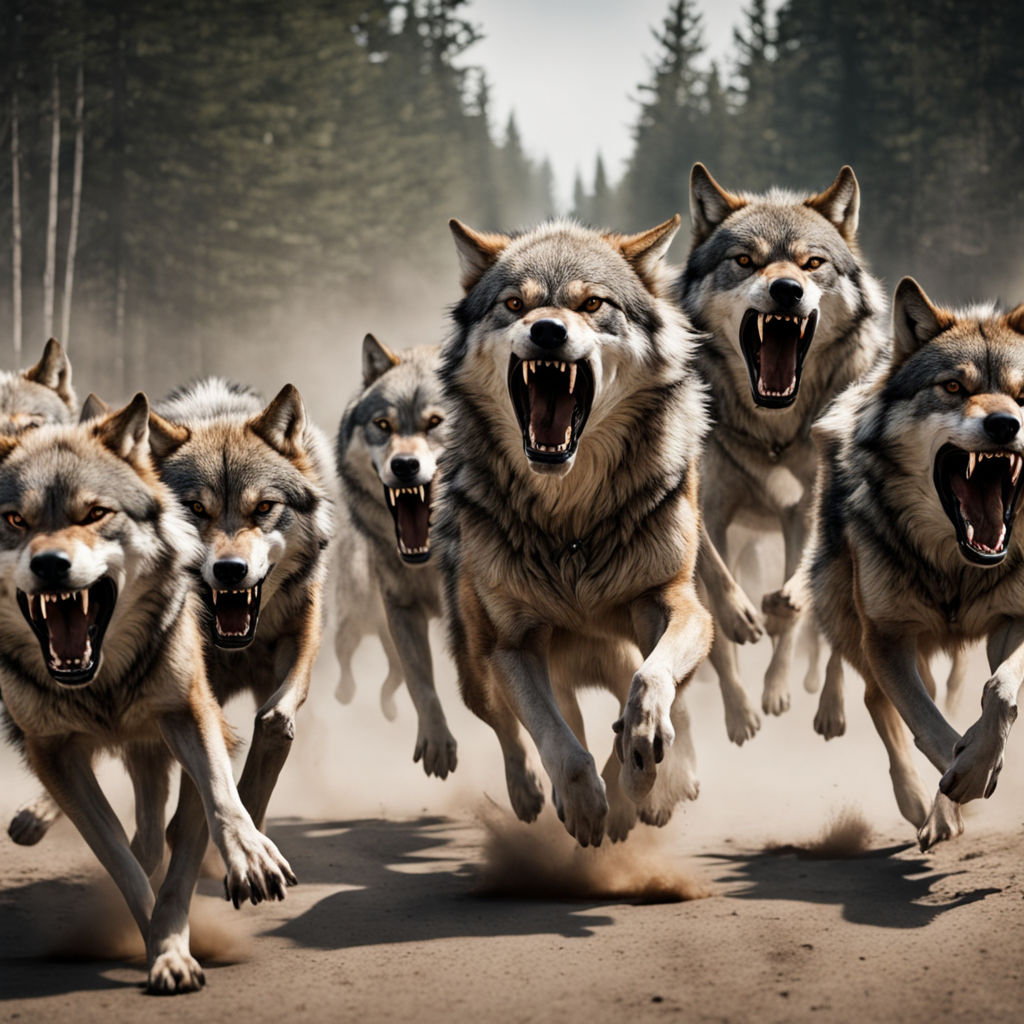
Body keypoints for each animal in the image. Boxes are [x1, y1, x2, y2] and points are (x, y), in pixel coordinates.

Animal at [0, 397, 294, 993]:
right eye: (14, 520)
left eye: (96, 514)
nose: (50, 565)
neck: (103, 682)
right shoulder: (53, 753)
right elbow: (122, 859)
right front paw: (164, 948)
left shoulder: (191, 713)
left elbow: (214, 808)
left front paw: (248, 862)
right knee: (145, 834)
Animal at [332, 335, 457, 778]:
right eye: (382, 425)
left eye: (435, 422)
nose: (404, 465)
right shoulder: (402, 609)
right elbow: (423, 687)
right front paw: (437, 744)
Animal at [436, 216, 712, 847]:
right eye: (515, 304)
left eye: (592, 304)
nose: (546, 330)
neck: (573, 525)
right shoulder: (513, 645)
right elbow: (556, 738)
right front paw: (586, 802)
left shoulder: (672, 603)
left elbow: (649, 683)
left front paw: (638, 773)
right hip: (476, 666)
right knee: (513, 730)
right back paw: (529, 793)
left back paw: (669, 778)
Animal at [680, 163, 887, 744]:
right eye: (744, 260)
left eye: (812, 262)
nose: (787, 290)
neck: (772, 429)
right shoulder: (709, 508)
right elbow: (715, 588)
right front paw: (739, 707)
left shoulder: (803, 512)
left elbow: (799, 614)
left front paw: (775, 689)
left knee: (831, 640)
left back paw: (829, 705)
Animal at [786, 278, 1024, 850]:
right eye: (954, 388)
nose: (1006, 424)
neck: (957, 568)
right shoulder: (888, 635)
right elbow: (925, 724)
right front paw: (964, 779)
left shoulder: (1014, 619)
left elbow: (999, 693)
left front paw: (977, 764)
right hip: (854, 621)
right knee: (878, 699)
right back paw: (923, 804)